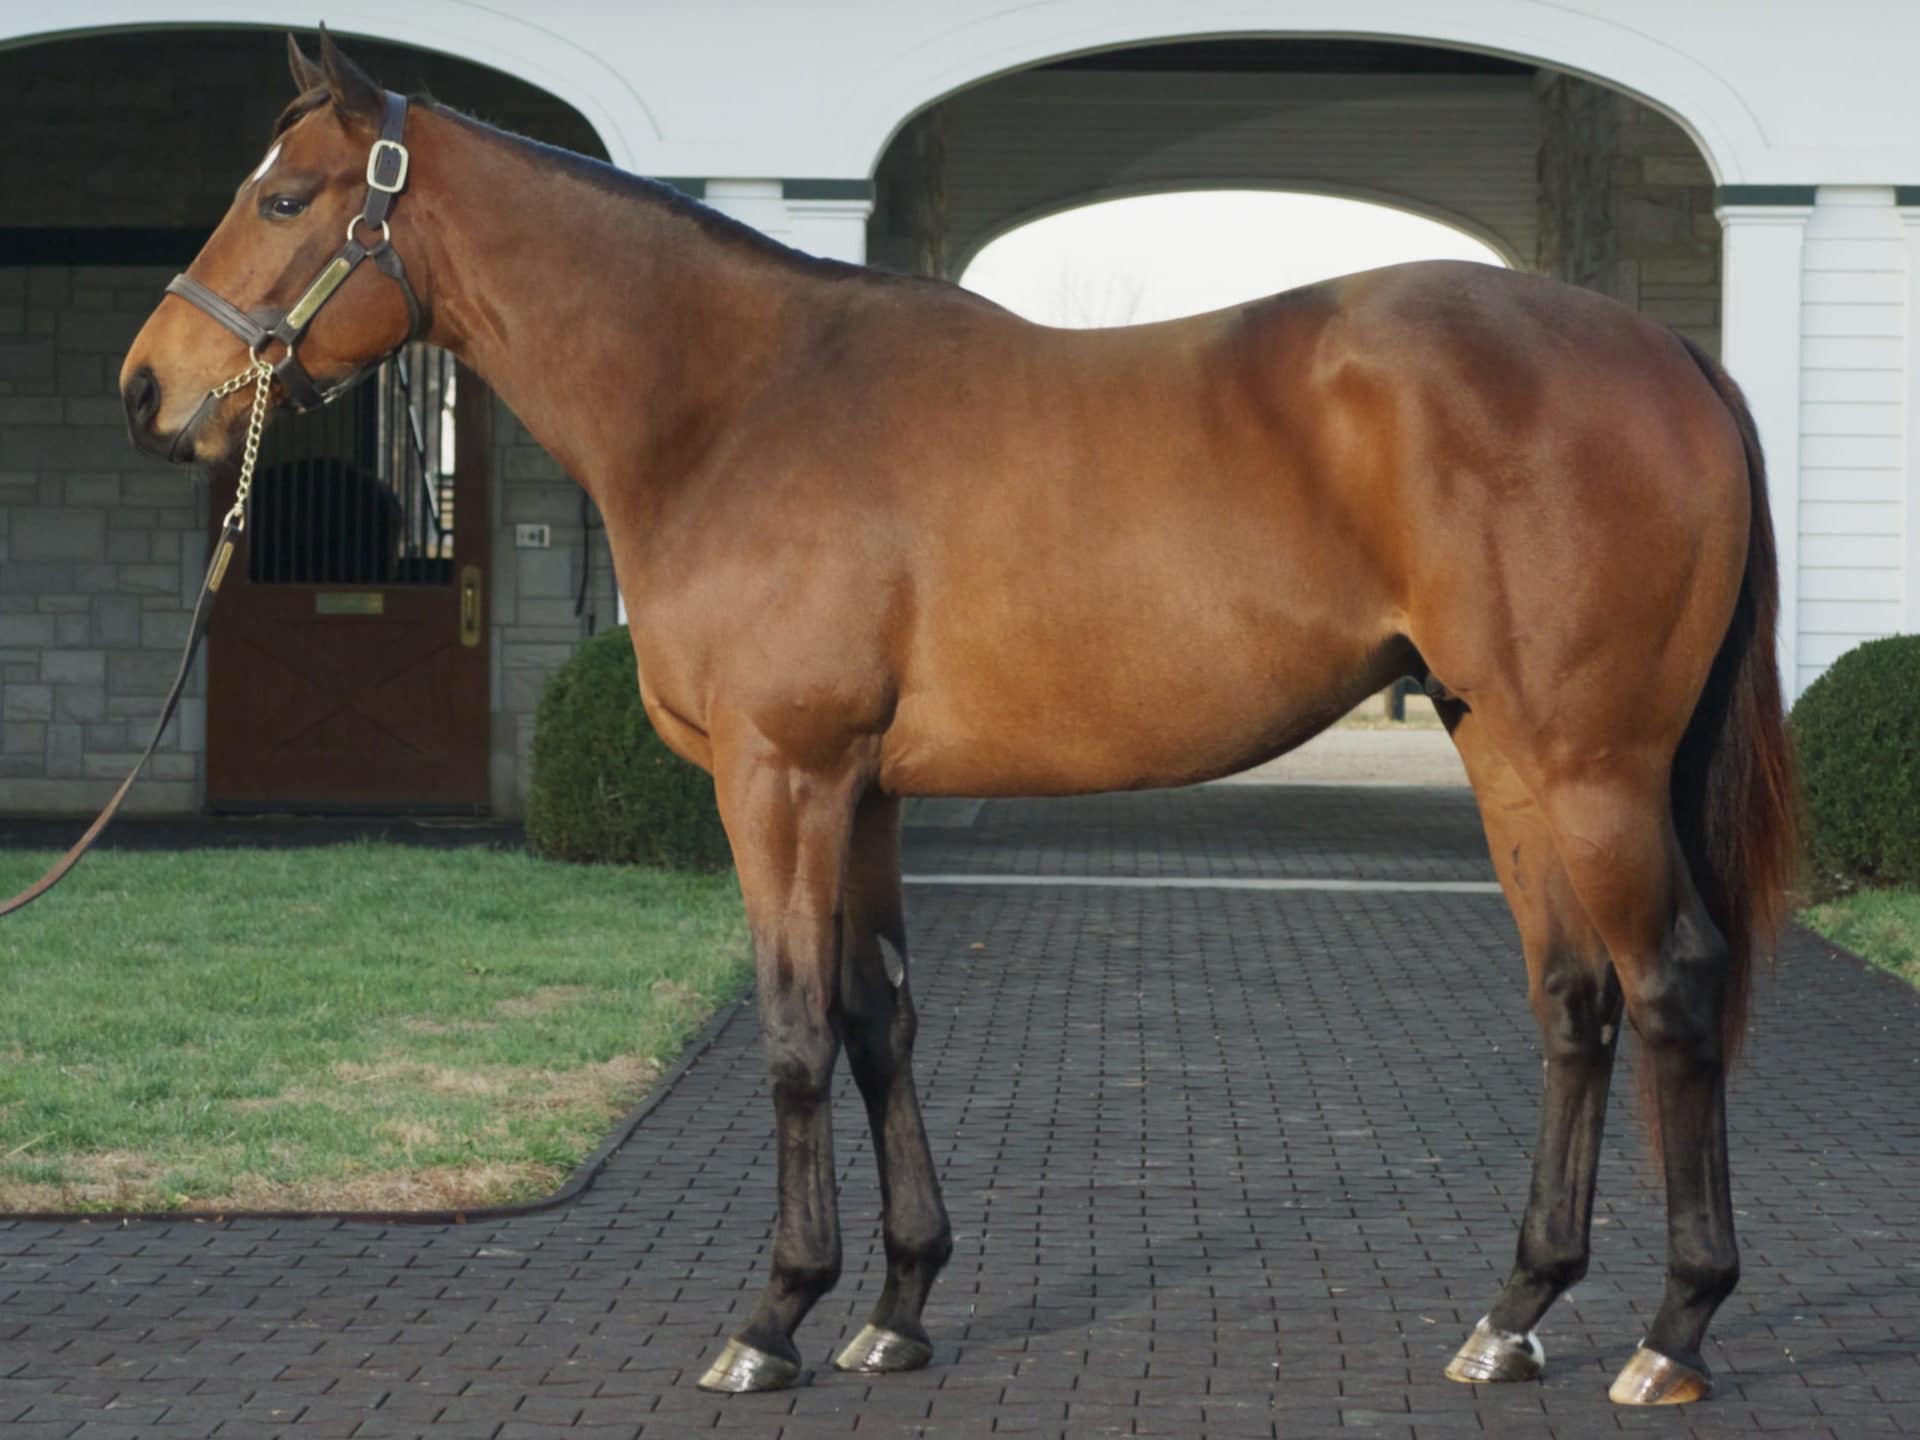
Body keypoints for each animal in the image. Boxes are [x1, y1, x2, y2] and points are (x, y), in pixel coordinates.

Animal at [119, 31, 1797, 1407]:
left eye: (287, 200)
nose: (149, 385)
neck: (735, 403)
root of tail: (1671, 354)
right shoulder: (863, 790)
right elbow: (880, 1020)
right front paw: (899, 1308)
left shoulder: (779, 778)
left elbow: (794, 1032)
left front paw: (773, 1319)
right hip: (1504, 751)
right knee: (1574, 1003)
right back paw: (1512, 1317)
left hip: (1593, 765)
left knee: (1673, 985)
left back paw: (1672, 1332)